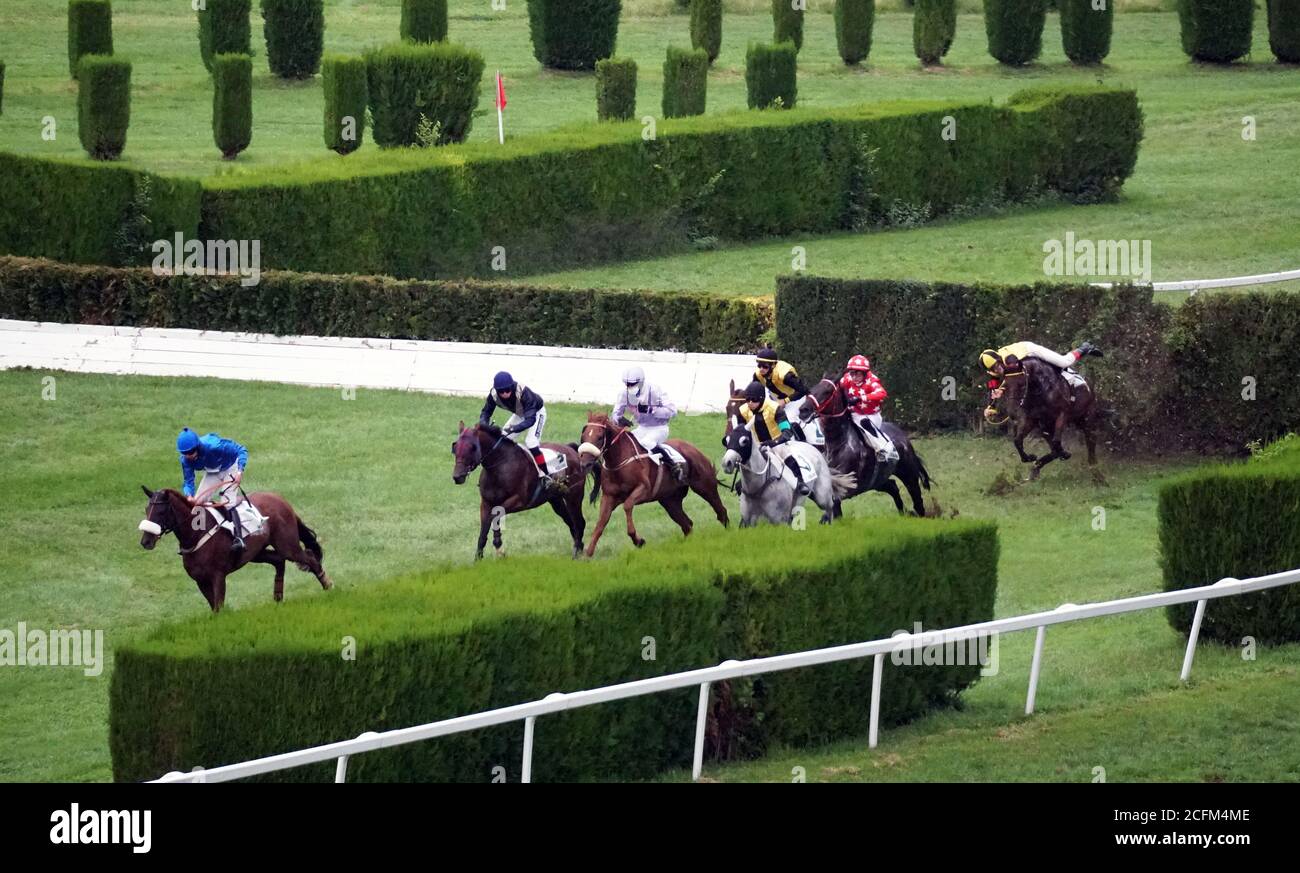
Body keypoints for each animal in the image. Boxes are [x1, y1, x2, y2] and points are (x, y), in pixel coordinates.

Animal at [135, 483, 330, 613]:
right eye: (146, 509)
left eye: (160, 512)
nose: (146, 541)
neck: (196, 535)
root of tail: (280, 499)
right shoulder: (200, 580)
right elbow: (214, 608)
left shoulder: (218, 576)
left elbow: (218, 606)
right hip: (257, 553)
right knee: (279, 561)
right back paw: (277, 597)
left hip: (287, 545)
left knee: (309, 559)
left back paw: (328, 586)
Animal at [449, 420, 587, 558]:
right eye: (455, 447)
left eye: (472, 447)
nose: (457, 477)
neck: (500, 465)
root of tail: (571, 449)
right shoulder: (485, 503)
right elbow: (484, 531)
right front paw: (478, 558)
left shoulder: (519, 501)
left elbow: (495, 515)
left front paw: (498, 545)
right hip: (556, 500)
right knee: (570, 522)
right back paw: (579, 547)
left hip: (574, 496)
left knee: (579, 522)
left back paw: (577, 552)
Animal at [579, 413, 733, 556]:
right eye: (584, 436)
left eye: (600, 437)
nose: (585, 464)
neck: (620, 462)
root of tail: (695, 449)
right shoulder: (609, 496)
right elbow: (601, 523)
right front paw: (588, 554)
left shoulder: (643, 489)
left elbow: (627, 505)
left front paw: (638, 540)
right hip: (670, 501)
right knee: (687, 524)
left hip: (705, 486)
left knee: (721, 512)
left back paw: (729, 536)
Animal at [795, 376, 930, 514]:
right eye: (811, 390)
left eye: (827, 391)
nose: (803, 410)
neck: (838, 443)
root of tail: (903, 436)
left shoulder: (842, 486)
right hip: (879, 481)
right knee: (893, 487)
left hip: (908, 474)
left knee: (917, 500)